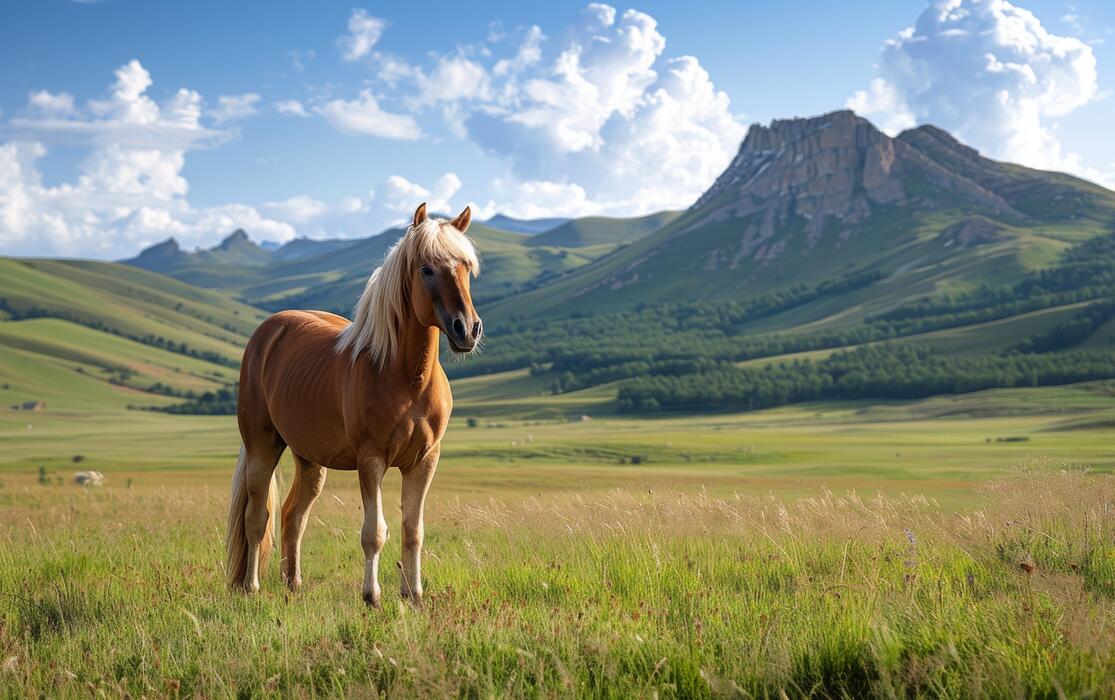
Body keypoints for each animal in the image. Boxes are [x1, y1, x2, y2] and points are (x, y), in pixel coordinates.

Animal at [225, 202, 482, 607]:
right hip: (261, 447)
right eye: (426, 269)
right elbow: (374, 532)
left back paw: (294, 583)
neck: (406, 377)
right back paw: (251, 586)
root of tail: (268, 332)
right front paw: (371, 595)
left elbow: (413, 530)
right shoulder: (371, 460)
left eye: (467, 267)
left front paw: (413, 594)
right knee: (258, 517)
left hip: (309, 459)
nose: (467, 330)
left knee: (293, 515)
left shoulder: (424, 461)